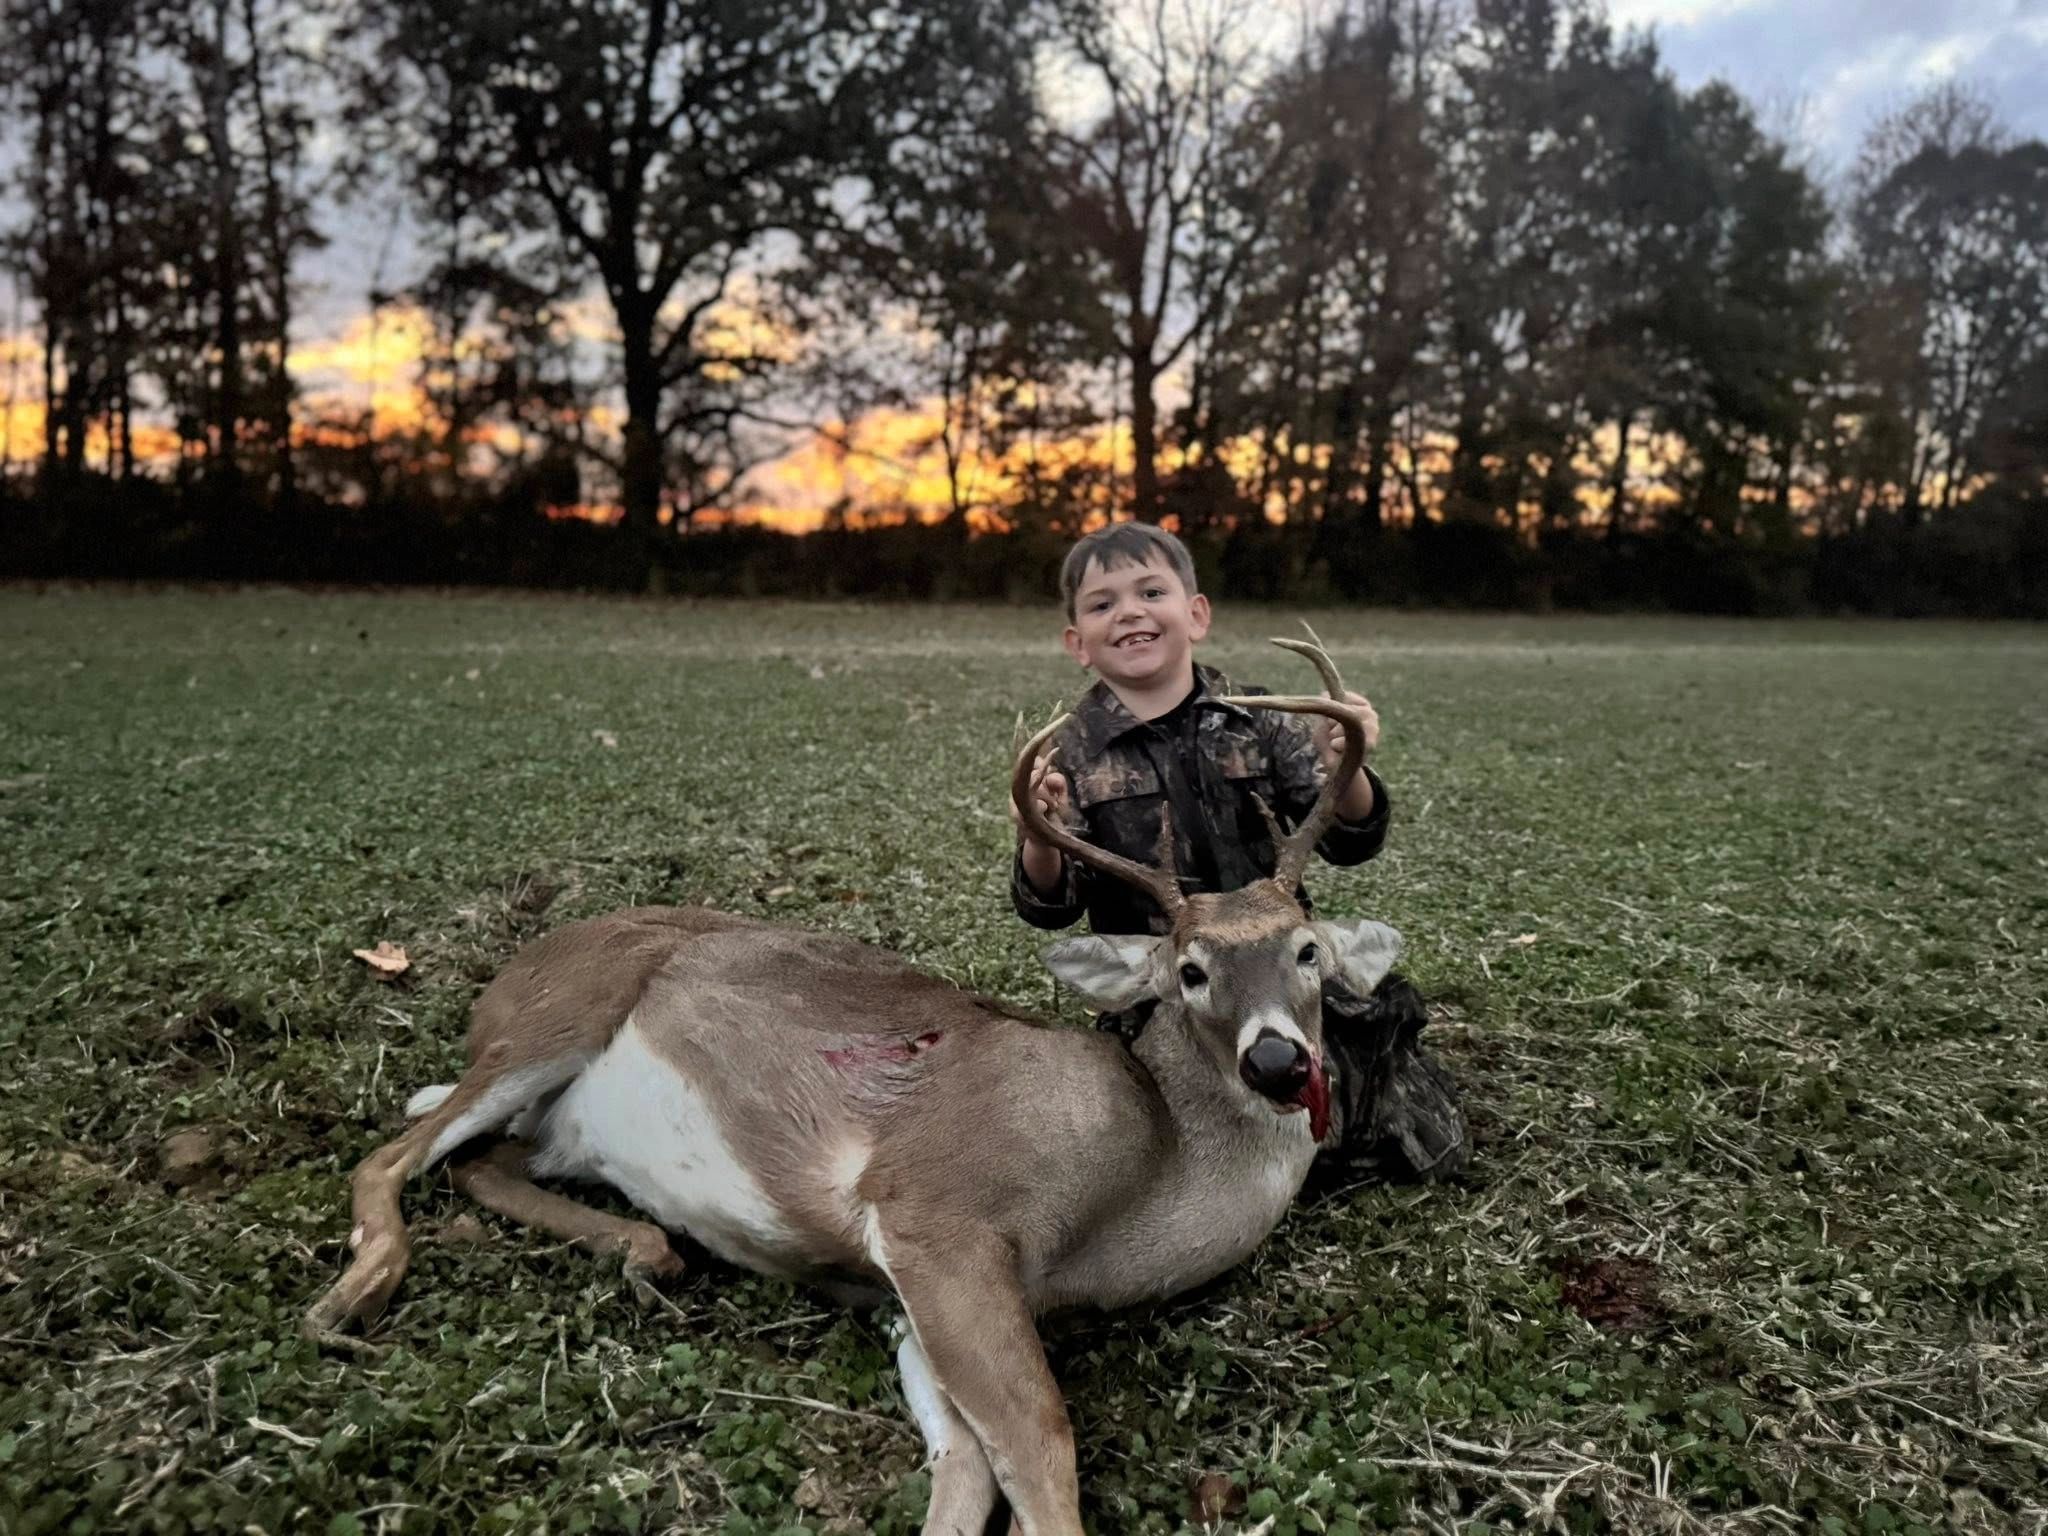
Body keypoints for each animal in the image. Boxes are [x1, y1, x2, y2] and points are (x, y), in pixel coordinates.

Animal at [304, 639, 1404, 1536]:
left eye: (1306, 952)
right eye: (1188, 971)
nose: (1278, 1061)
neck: (1147, 1172)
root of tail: (508, 979)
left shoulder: (920, 1294)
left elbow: (969, 1472)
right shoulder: (935, 1212)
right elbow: (1043, 1449)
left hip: (552, 1116)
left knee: (481, 1161)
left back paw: (641, 1248)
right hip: (561, 1013)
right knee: (391, 1155)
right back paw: (351, 1296)